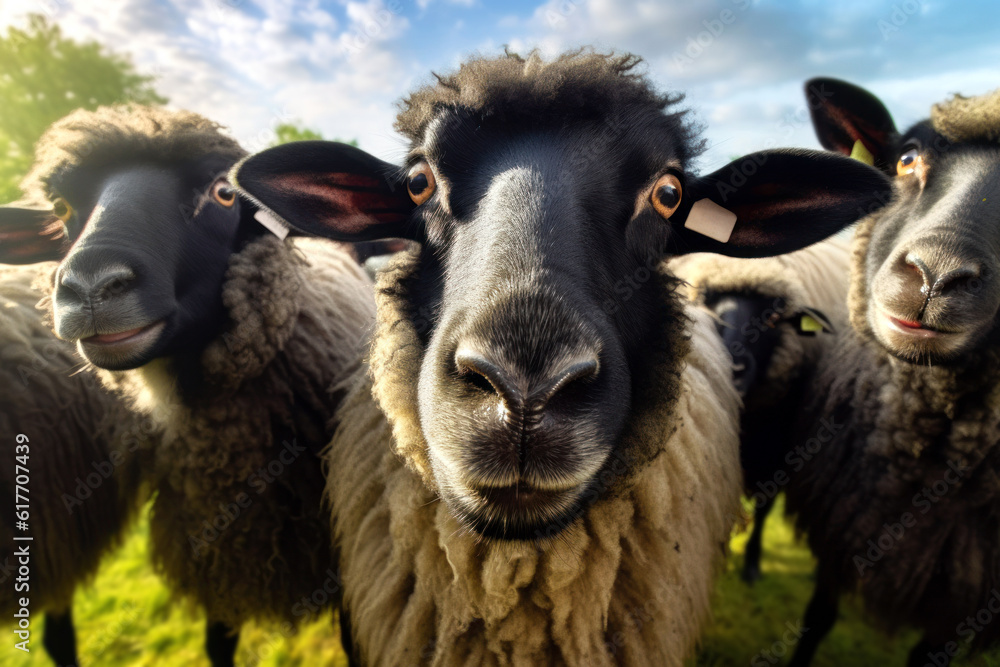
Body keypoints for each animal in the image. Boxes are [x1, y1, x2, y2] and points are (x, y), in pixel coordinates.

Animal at [669, 237, 851, 582]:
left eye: (773, 319)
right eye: (707, 308)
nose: (734, 368)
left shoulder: (781, 453)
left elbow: (765, 507)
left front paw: (751, 562)